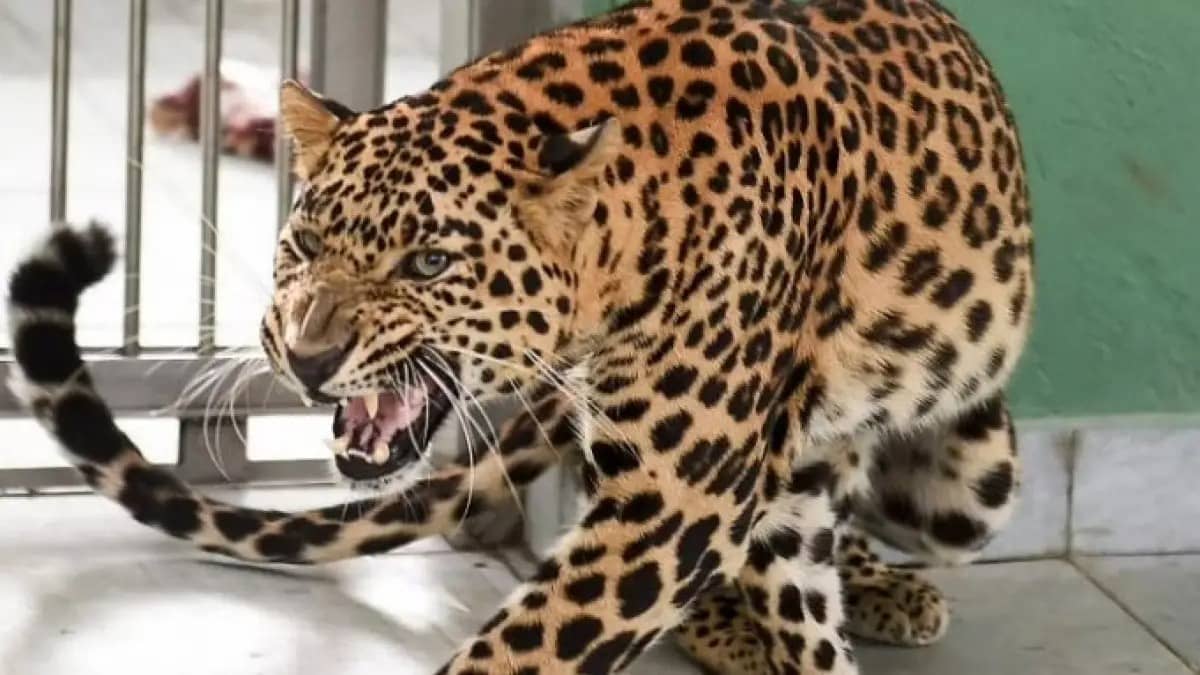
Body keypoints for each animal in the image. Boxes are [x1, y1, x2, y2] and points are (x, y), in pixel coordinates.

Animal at [6, 0, 1032, 672]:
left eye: (428, 263)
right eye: (305, 242)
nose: (305, 357)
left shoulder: (679, 498)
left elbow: (528, 646)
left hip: (971, 478)